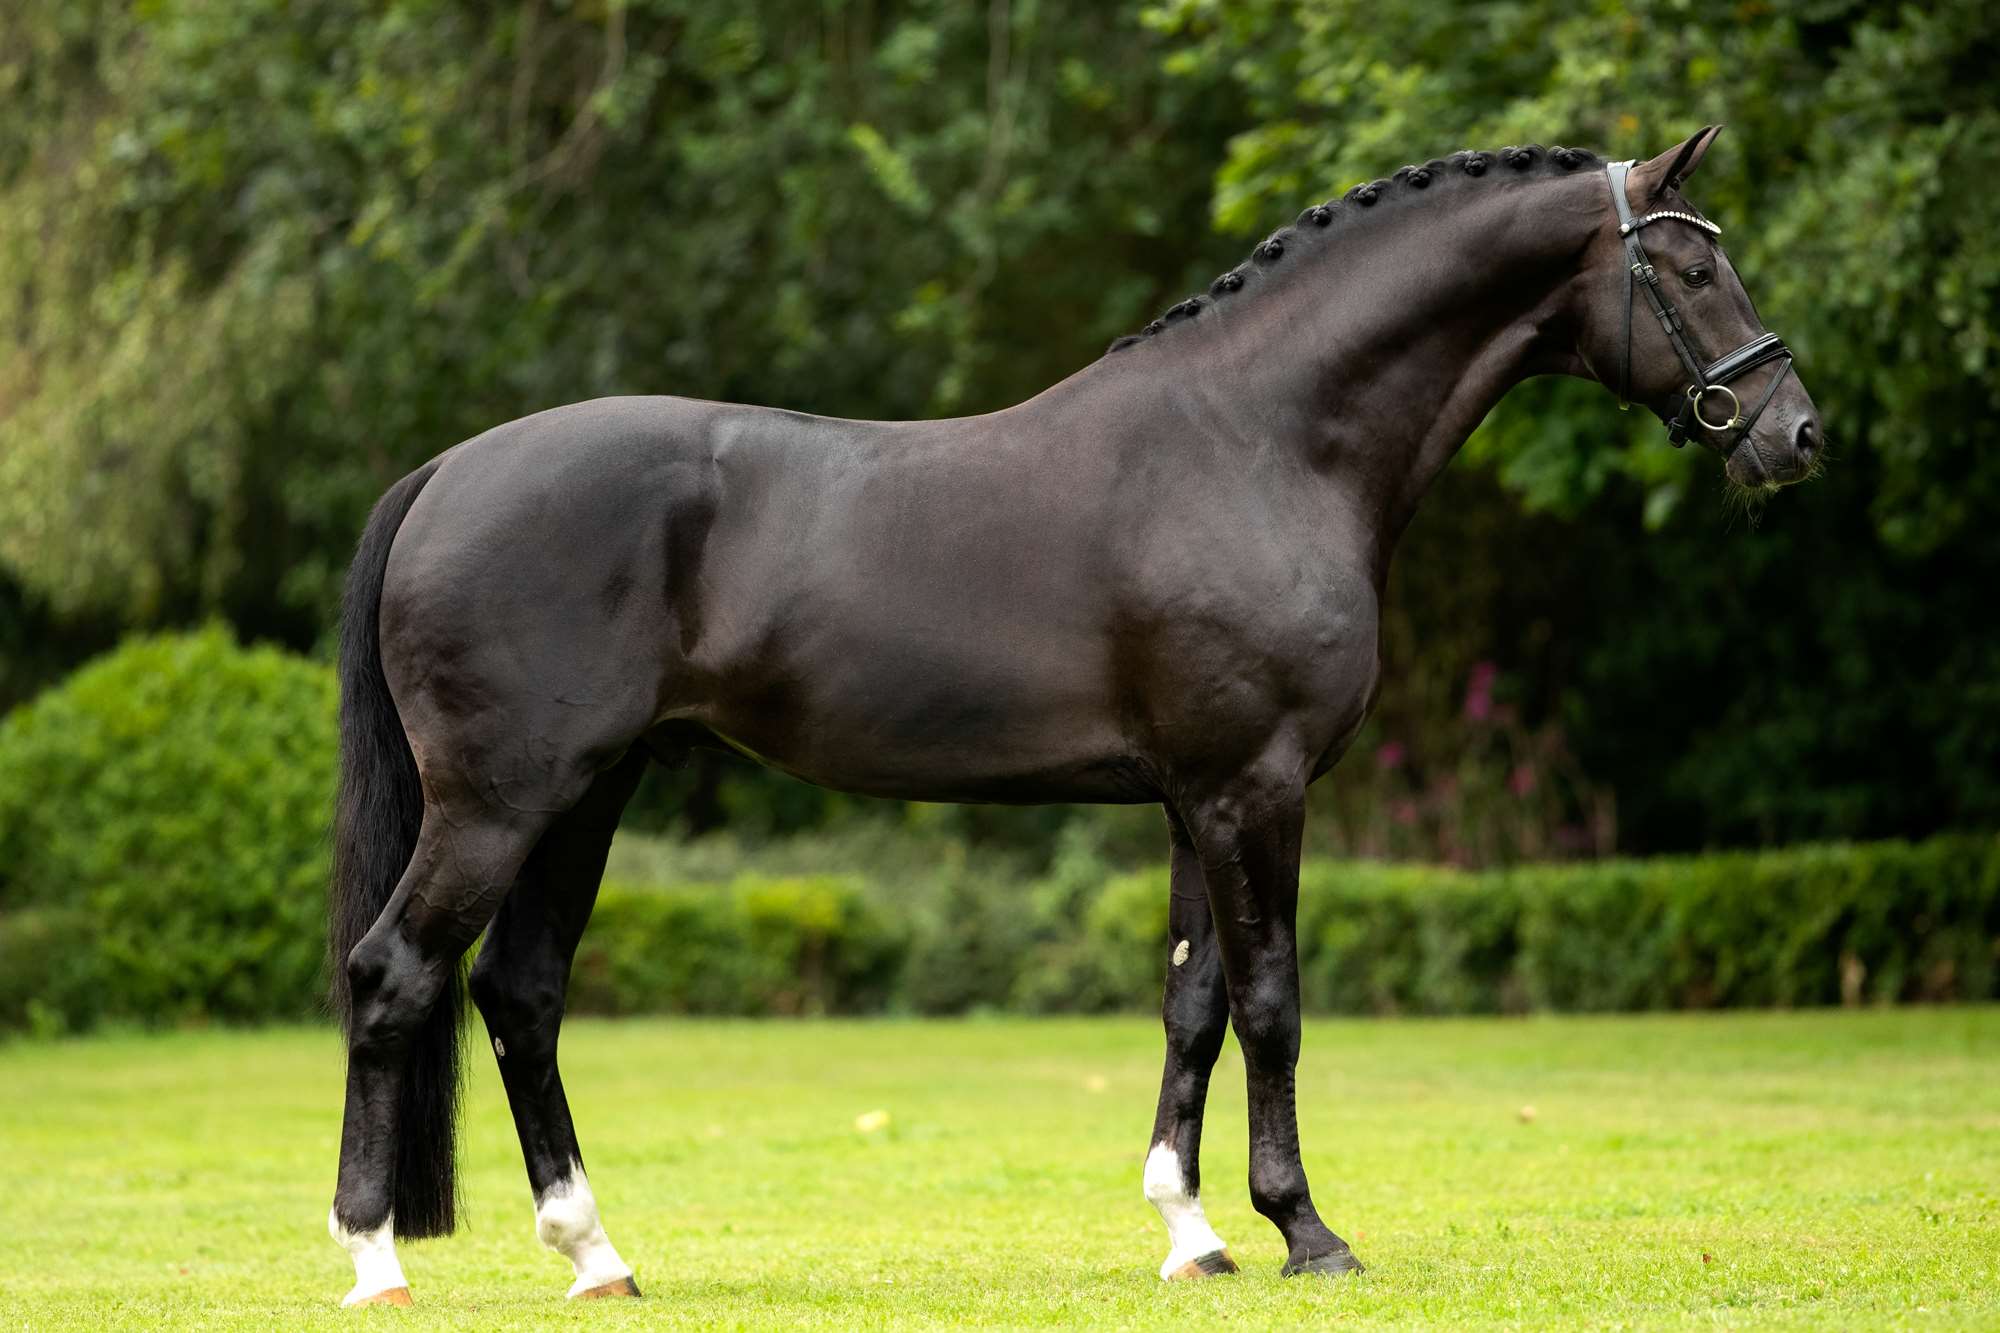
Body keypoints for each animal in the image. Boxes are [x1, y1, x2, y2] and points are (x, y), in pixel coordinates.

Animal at [325, 126, 1820, 1305]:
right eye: (1694, 270)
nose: (1792, 434)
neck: (1259, 441)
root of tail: (446, 471)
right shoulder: (1255, 786)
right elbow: (1270, 1000)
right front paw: (1307, 1230)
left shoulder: (1193, 797)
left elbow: (1193, 1003)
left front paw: (1194, 1233)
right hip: (502, 800)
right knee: (394, 974)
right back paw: (375, 1258)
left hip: (588, 795)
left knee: (518, 993)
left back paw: (597, 1257)